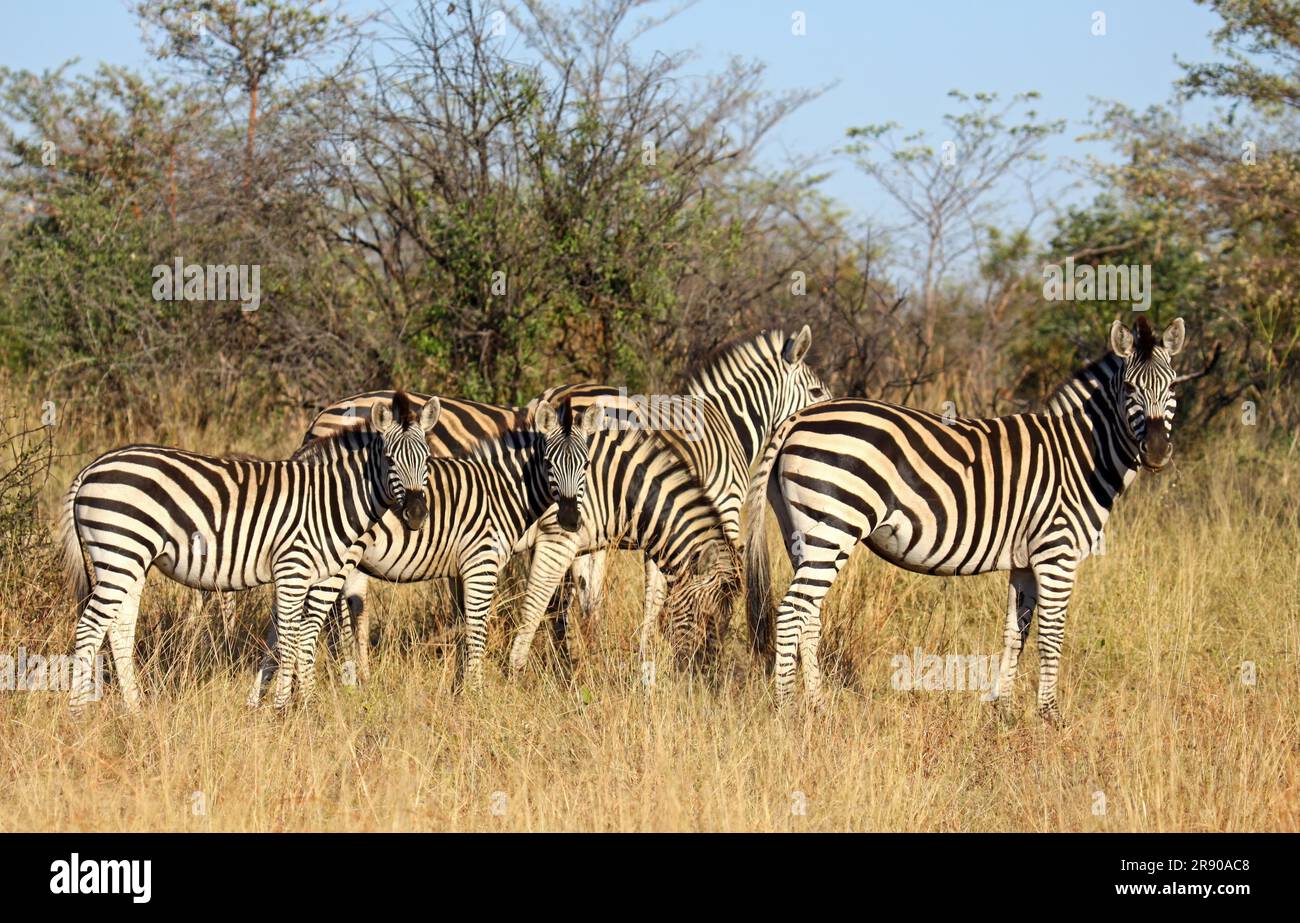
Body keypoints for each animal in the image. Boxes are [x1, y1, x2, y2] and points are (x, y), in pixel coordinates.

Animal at [58, 392, 439, 711]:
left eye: (427, 460)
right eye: (389, 459)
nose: (417, 513)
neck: (327, 498)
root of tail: (91, 468)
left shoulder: (314, 575)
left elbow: (297, 636)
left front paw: (298, 703)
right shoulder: (293, 569)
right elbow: (291, 638)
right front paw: (284, 708)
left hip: (130, 560)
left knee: (119, 628)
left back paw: (135, 710)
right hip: (119, 550)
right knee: (90, 627)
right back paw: (78, 713)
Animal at [248, 397, 600, 696]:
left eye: (585, 465)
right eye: (549, 463)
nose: (570, 519)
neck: (499, 488)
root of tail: (303, 455)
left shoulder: (465, 567)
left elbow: (466, 627)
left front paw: (461, 689)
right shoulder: (481, 563)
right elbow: (478, 629)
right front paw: (476, 695)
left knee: (282, 626)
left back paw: (263, 696)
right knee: (303, 627)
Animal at [743, 316, 1187, 721]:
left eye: (1173, 387)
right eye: (1129, 388)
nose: (1157, 452)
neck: (1080, 455)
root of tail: (796, 419)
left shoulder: (1025, 562)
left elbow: (1016, 632)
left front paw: (1003, 709)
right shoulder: (1056, 553)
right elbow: (1051, 635)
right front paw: (1049, 715)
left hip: (805, 534)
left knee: (808, 615)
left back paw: (818, 705)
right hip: (834, 527)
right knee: (791, 611)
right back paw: (786, 710)